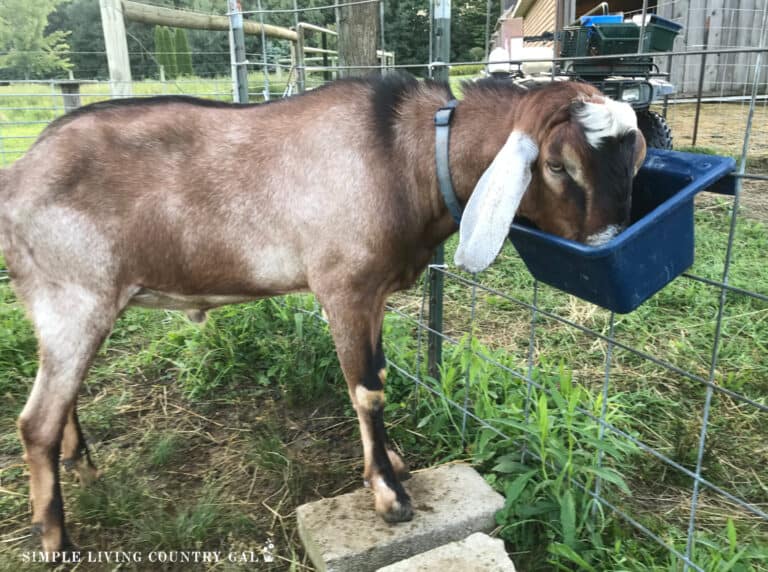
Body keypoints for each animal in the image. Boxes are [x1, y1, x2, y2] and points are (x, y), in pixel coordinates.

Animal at [0, 74, 646, 555]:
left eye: (634, 158)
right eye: (558, 165)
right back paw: (57, 540)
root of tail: (18, 176)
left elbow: (379, 374)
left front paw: (393, 462)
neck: (403, 155)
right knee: (35, 422)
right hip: (73, 296)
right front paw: (389, 497)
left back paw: (81, 464)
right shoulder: (343, 286)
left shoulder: (375, 292)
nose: (608, 241)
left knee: (61, 398)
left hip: (74, 308)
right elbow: (366, 389)